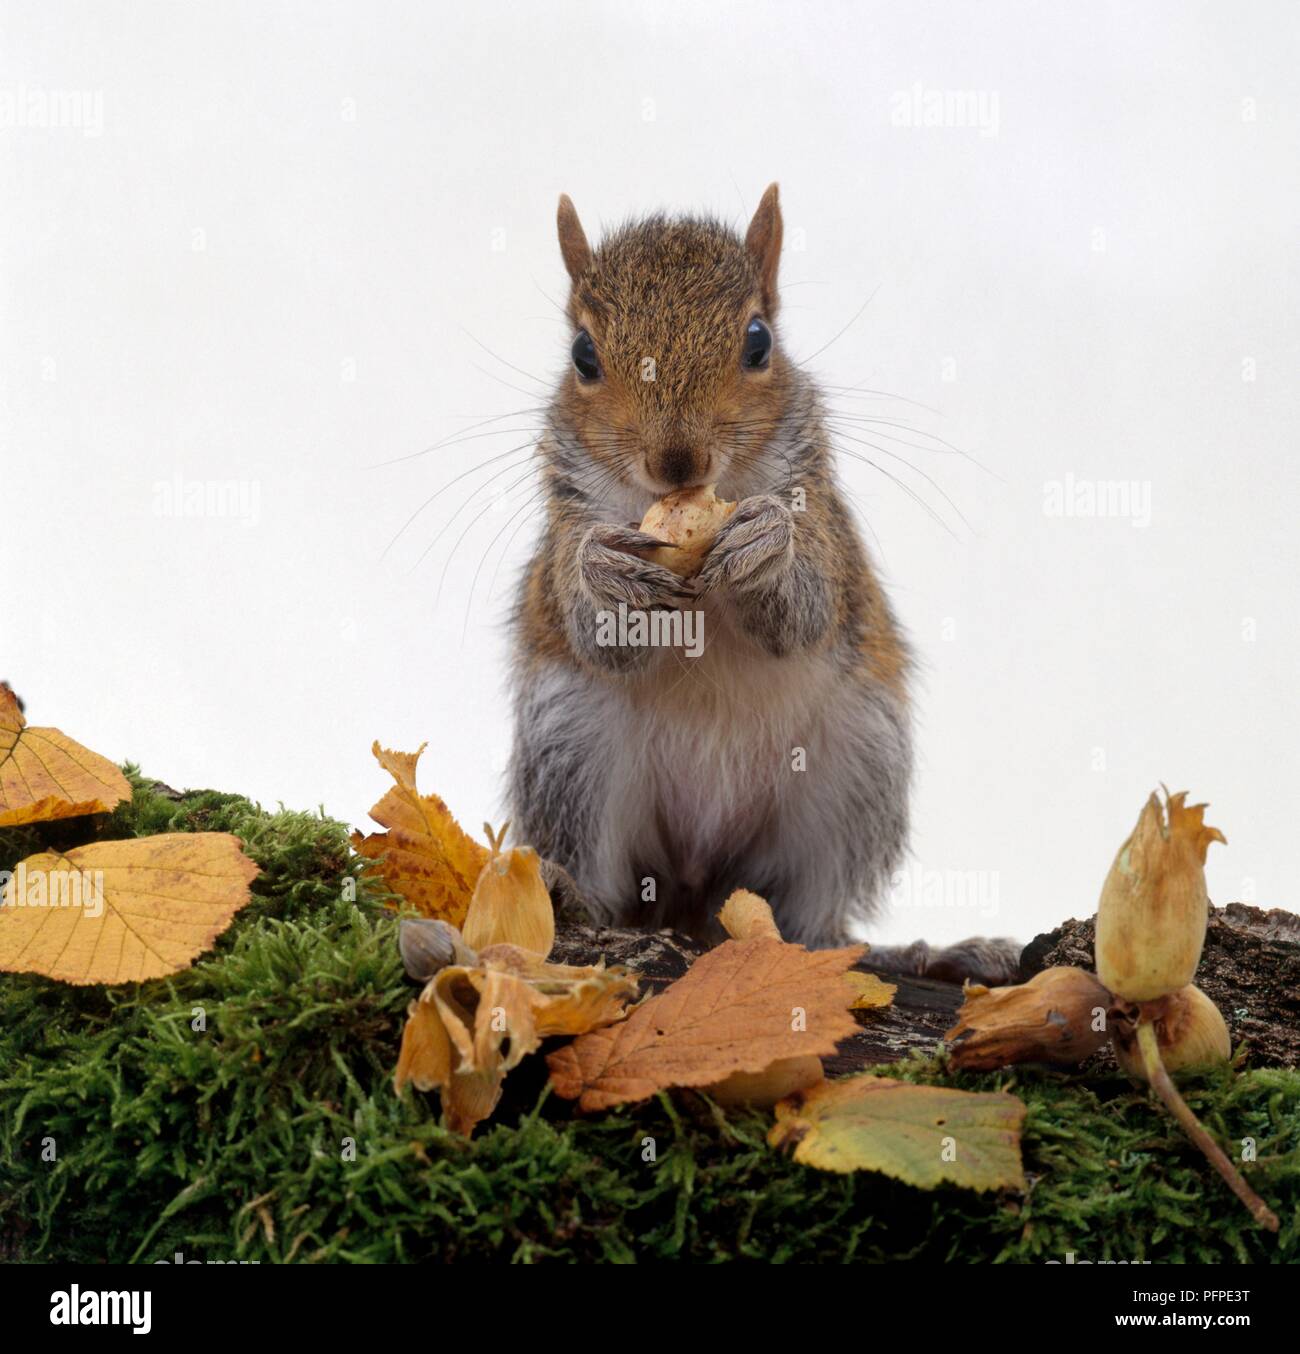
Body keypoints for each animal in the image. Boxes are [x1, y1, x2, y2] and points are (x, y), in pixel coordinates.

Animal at [506, 185, 1019, 985]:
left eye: (758, 342)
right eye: (583, 356)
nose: (677, 460)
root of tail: (695, 888)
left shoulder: (826, 523)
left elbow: (809, 606)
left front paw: (767, 546)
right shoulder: (566, 518)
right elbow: (595, 628)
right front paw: (601, 571)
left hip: (857, 769)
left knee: (810, 919)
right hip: (569, 747)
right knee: (602, 881)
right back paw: (571, 894)